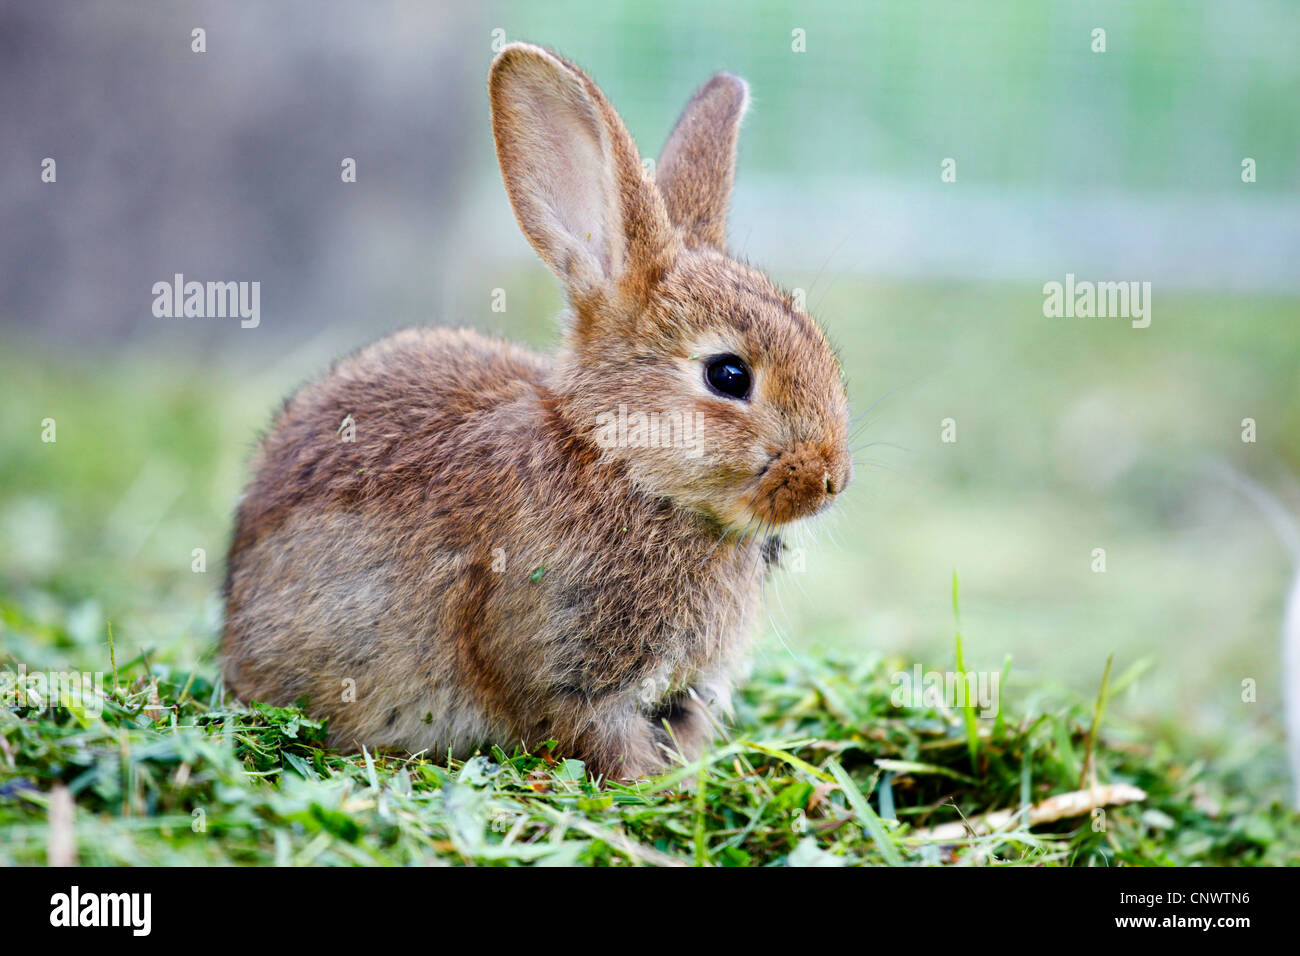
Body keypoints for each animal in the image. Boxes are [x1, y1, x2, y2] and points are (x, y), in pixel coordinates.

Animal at [221, 42, 852, 780]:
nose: (831, 479)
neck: (620, 462)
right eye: (728, 375)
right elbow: (597, 735)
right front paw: (651, 785)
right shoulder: (566, 672)